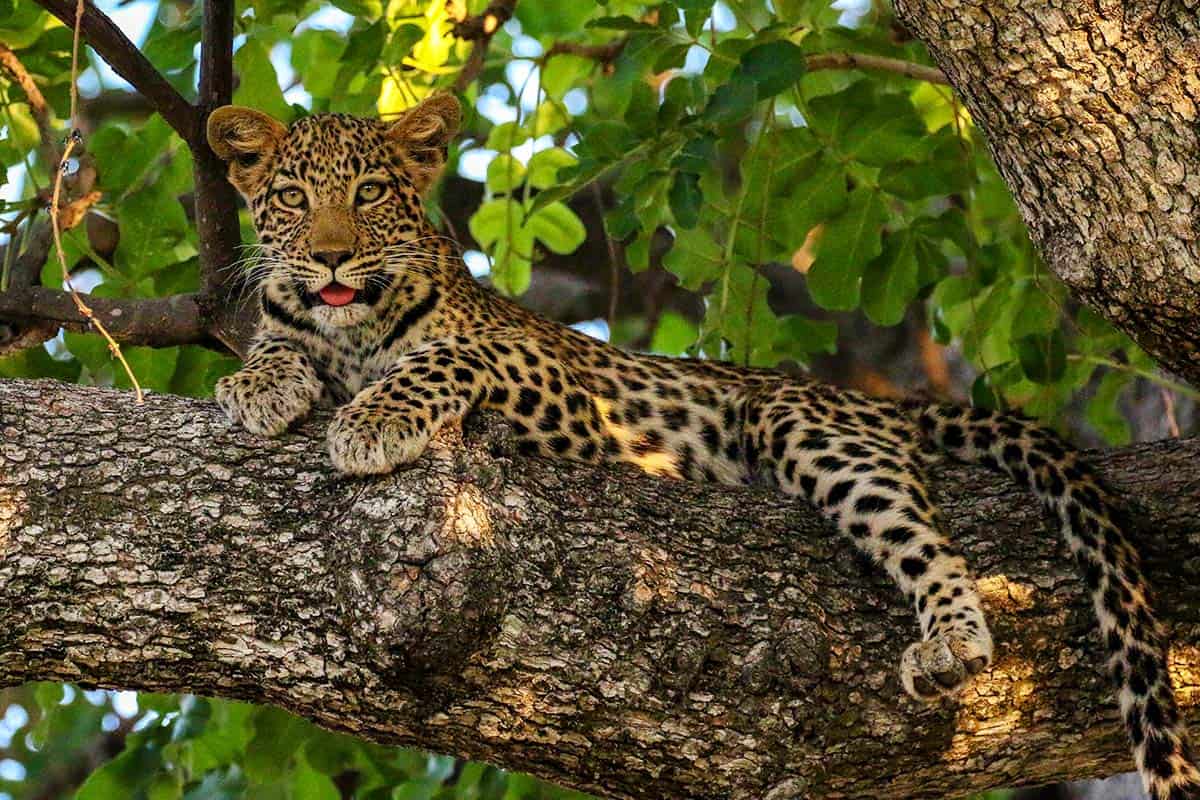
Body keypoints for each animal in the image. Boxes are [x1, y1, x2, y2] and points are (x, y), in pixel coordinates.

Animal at [206, 93, 1199, 799]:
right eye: (293, 199)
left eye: (369, 194)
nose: (333, 256)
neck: (353, 333)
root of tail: (876, 401)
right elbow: (279, 339)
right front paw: (260, 383)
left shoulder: (554, 381)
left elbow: (445, 355)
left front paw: (370, 420)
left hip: (804, 427)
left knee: (931, 544)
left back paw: (951, 641)